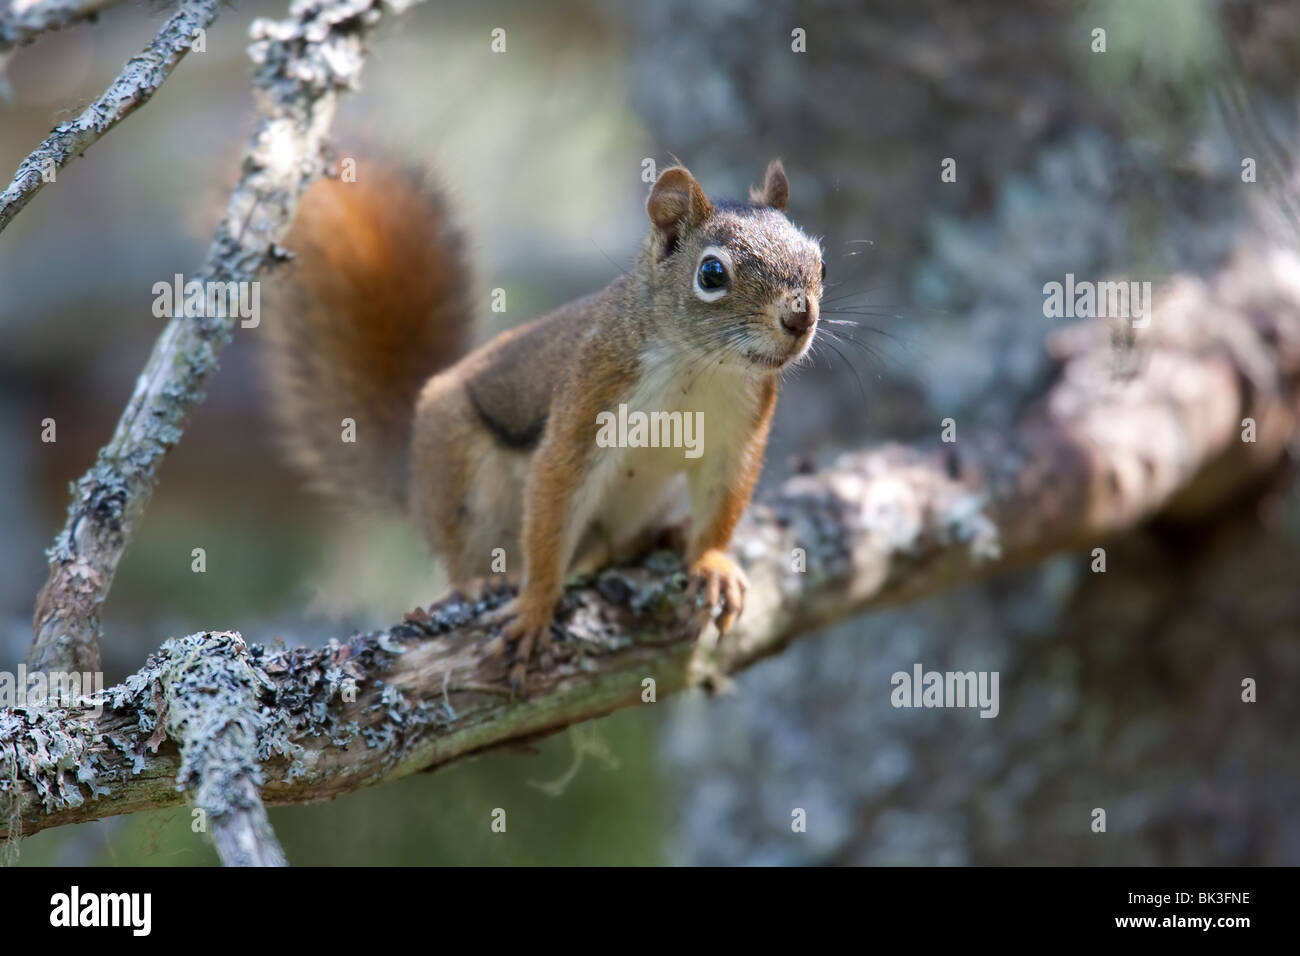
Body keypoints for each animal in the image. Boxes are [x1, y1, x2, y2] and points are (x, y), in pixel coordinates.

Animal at [263, 157, 824, 690]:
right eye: (711, 273)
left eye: (818, 260)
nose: (801, 318)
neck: (701, 368)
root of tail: (414, 486)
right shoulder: (591, 394)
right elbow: (555, 492)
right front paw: (534, 608)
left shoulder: (741, 434)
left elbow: (724, 502)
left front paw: (710, 565)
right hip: (460, 470)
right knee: (464, 552)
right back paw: (480, 583)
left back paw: (662, 535)